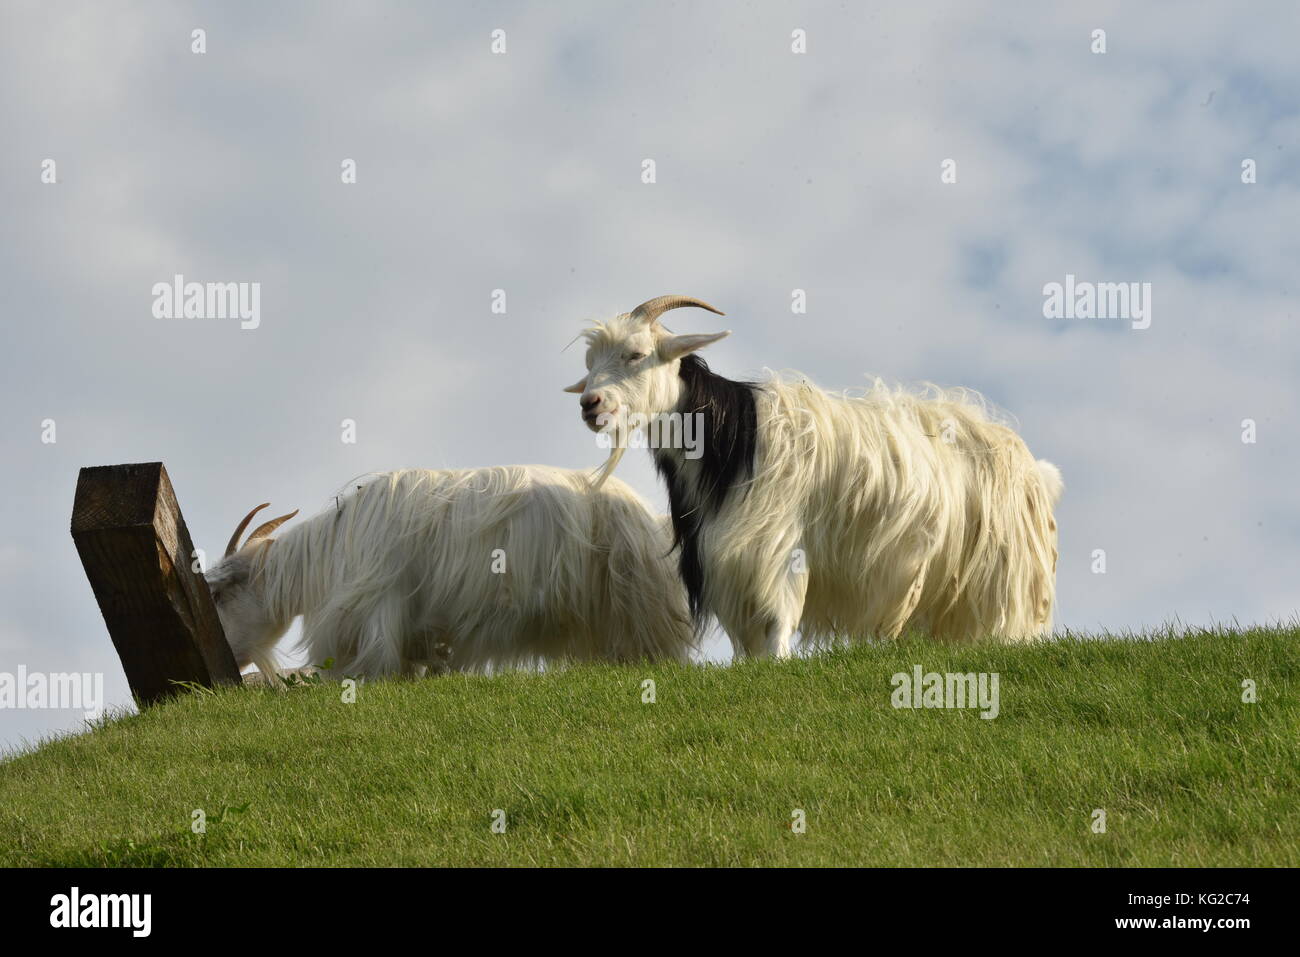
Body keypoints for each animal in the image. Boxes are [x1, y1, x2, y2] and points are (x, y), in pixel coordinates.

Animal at [204, 465, 694, 678]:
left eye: (219, 593)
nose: (228, 660)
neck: (329, 551)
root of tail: (649, 519)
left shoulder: (376, 615)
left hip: (637, 610)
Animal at [565, 295, 1062, 657]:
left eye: (636, 354)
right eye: (590, 364)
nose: (590, 404)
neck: (735, 436)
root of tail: (1034, 469)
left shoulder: (778, 545)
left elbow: (778, 620)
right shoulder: (727, 561)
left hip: (1004, 577)